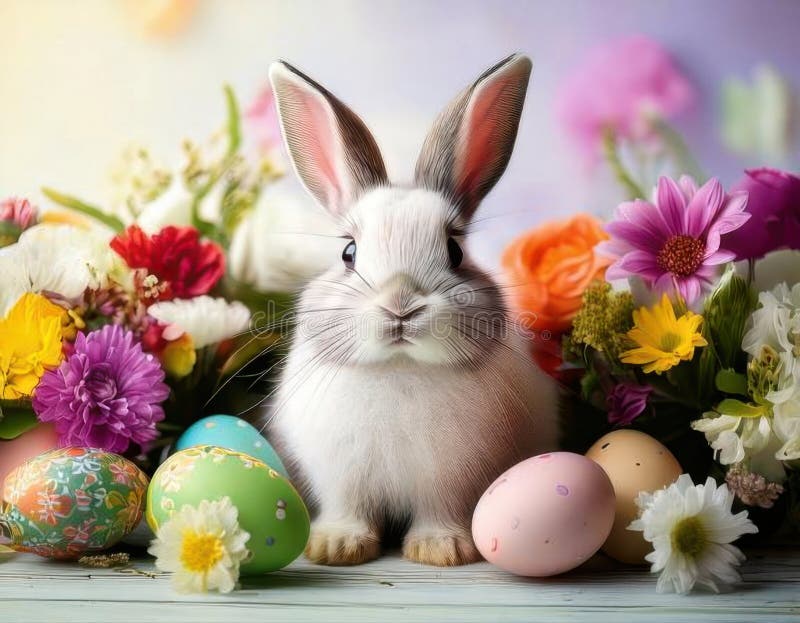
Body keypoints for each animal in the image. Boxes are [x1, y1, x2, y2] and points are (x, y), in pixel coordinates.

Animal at [266, 54, 558, 567]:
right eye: (348, 252)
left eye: (455, 251)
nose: (400, 306)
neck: (398, 368)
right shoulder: (339, 477)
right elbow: (347, 509)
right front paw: (336, 546)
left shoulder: (453, 478)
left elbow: (440, 511)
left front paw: (442, 550)